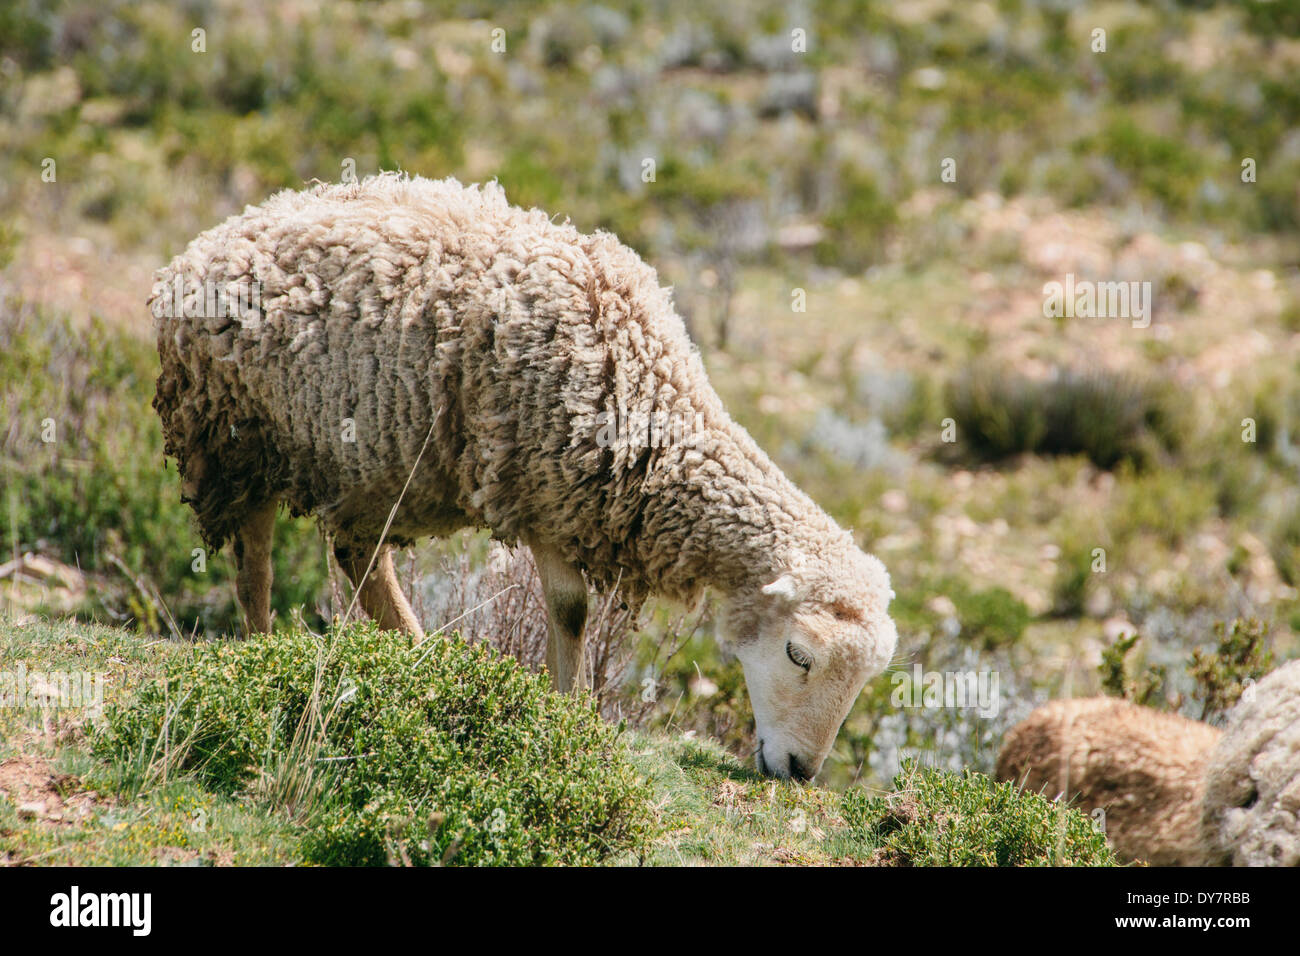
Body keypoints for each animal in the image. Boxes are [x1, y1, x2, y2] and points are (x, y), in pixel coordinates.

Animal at [149, 172, 898, 781]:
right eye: (799, 654)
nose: (800, 771)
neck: (650, 401)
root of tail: (205, 244)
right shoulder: (544, 493)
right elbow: (570, 610)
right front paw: (567, 711)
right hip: (236, 436)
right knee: (256, 555)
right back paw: (263, 646)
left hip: (369, 466)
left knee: (359, 557)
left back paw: (421, 656)